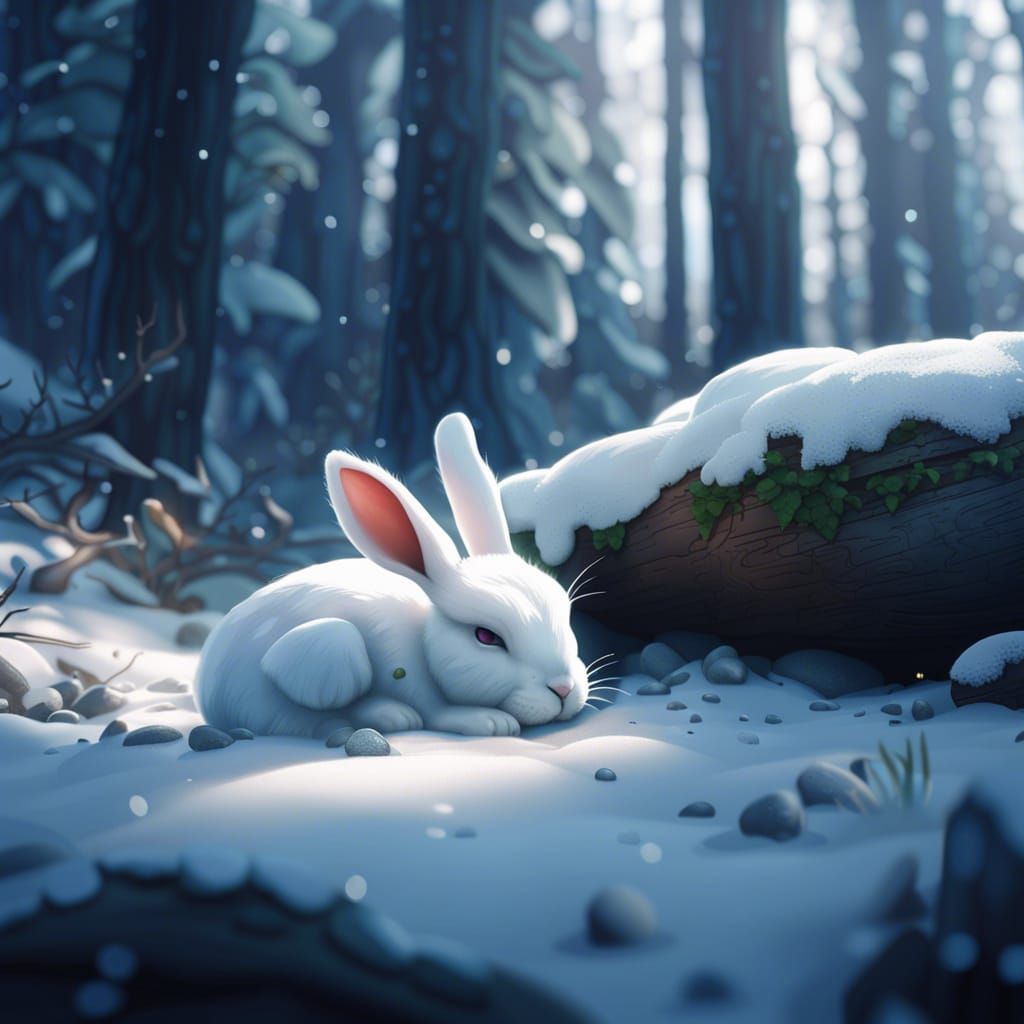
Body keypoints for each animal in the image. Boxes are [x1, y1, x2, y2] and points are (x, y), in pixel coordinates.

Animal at [194, 412, 590, 738]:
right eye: (485, 637)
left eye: (566, 618)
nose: (563, 689)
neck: (424, 640)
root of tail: (206, 686)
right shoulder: (419, 687)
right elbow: (442, 713)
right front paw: (489, 721)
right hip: (331, 647)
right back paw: (388, 714)